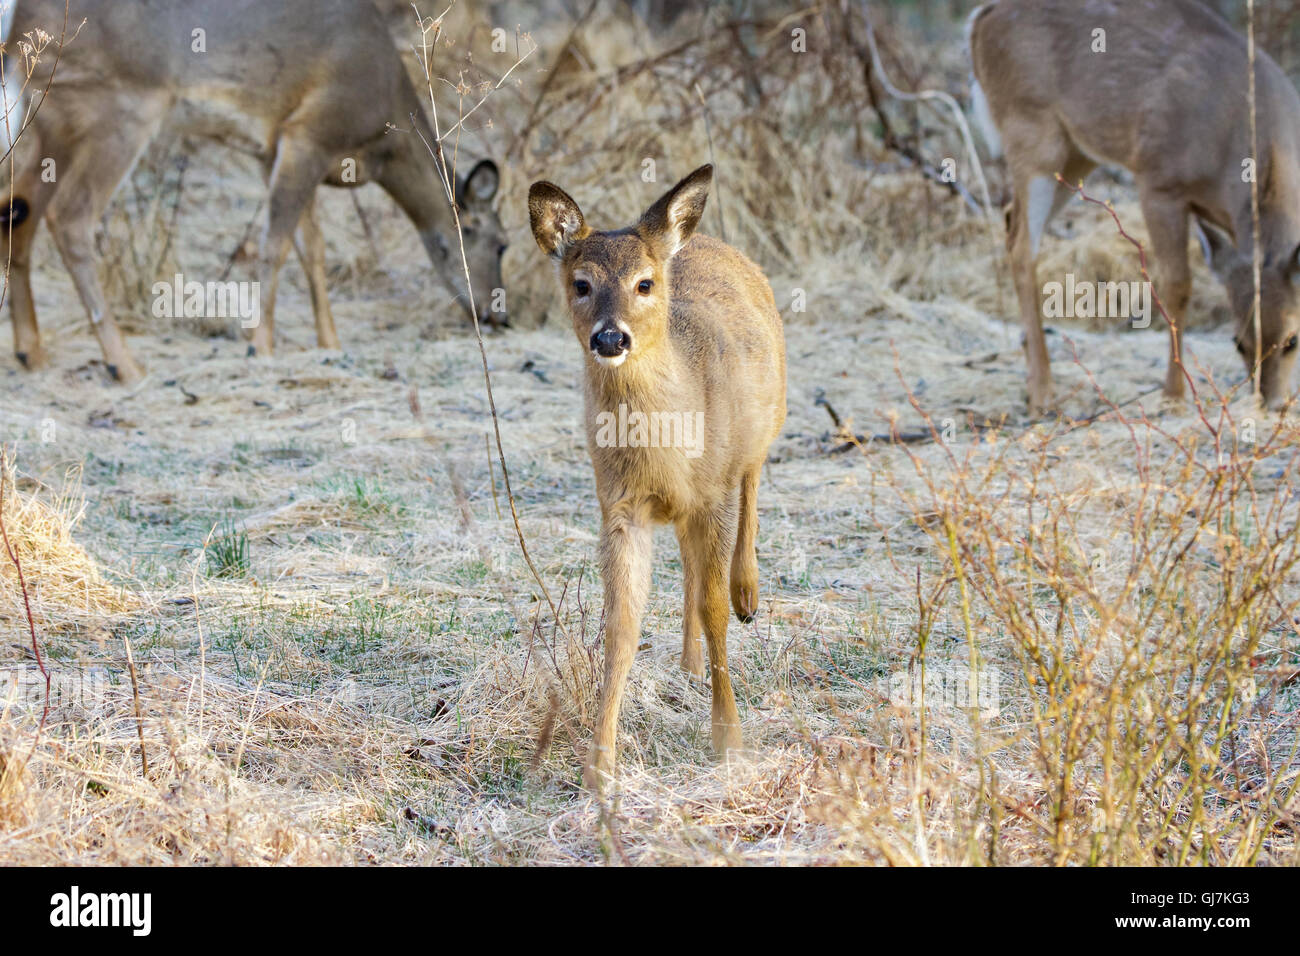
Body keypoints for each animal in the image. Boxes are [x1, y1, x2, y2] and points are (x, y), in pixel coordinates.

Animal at [0, 0, 508, 384]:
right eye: (502, 243)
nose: (498, 315)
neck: (384, 137)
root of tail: (19, 23)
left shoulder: (273, 150)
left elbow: (311, 249)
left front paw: (329, 343)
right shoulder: (310, 132)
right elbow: (275, 245)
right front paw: (259, 346)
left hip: (54, 119)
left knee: (19, 211)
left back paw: (32, 352)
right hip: (119, 103)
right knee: (69, 217)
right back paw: (123, 364)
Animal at [528, 165, 787, 790]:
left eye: (644, 283)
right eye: (581, 283)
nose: (610, 337)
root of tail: (702, 237)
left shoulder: (713, 492)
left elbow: (715, 610)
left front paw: (729, 741)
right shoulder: (621, 506)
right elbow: (621, 625)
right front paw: (601, 764)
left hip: (766, 420)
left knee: (753, 482)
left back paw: (748, 592)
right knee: (690, 568)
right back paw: (689, 666)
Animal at [969, 0, 1300, 415]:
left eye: (1292, 340)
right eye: (1238, 342)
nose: (1271, 403)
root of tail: (981, 18)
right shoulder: (1158, 181)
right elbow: (1177, 285)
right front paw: (1173, 395)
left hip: (1076, 153)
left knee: (1011, 219)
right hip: (1030, 129)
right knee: (1021, 248)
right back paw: (1043, 393)